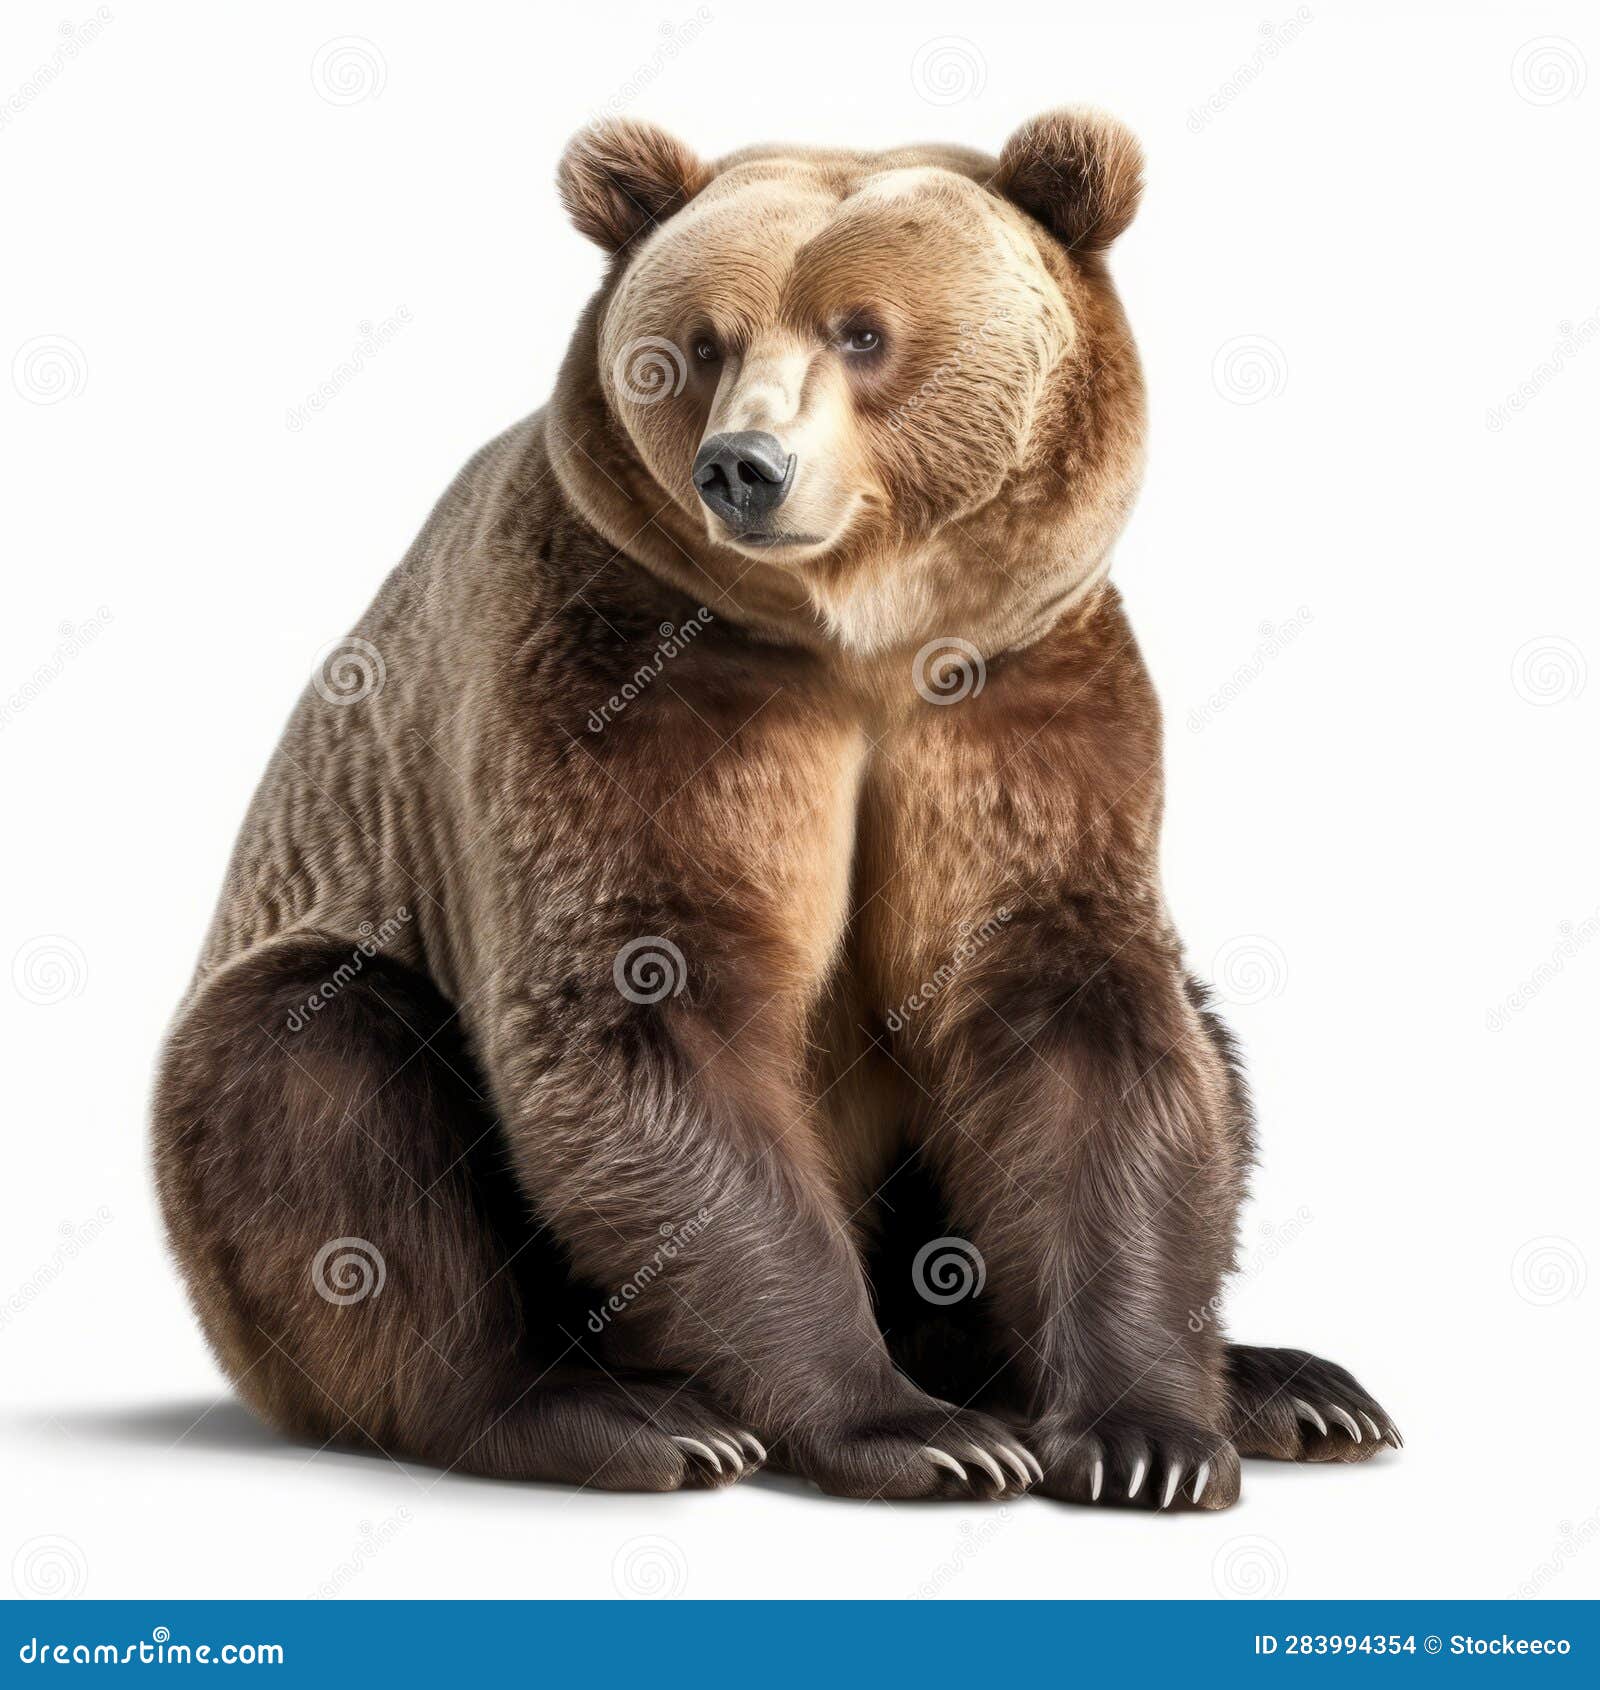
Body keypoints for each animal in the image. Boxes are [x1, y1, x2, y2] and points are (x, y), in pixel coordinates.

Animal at [153, 109, 1397, 1507]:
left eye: (863, 332)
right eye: (701, 342)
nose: (743, 467)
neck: (857, 642)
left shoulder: (1024, 703)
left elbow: (1080, 1019)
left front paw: (1150, 1436)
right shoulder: (619, 674)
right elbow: (648, 1003)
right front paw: (914, 1429)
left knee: (1205, 1046)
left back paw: (1284, 1387)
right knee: (318, 1069)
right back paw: (607, 1412)